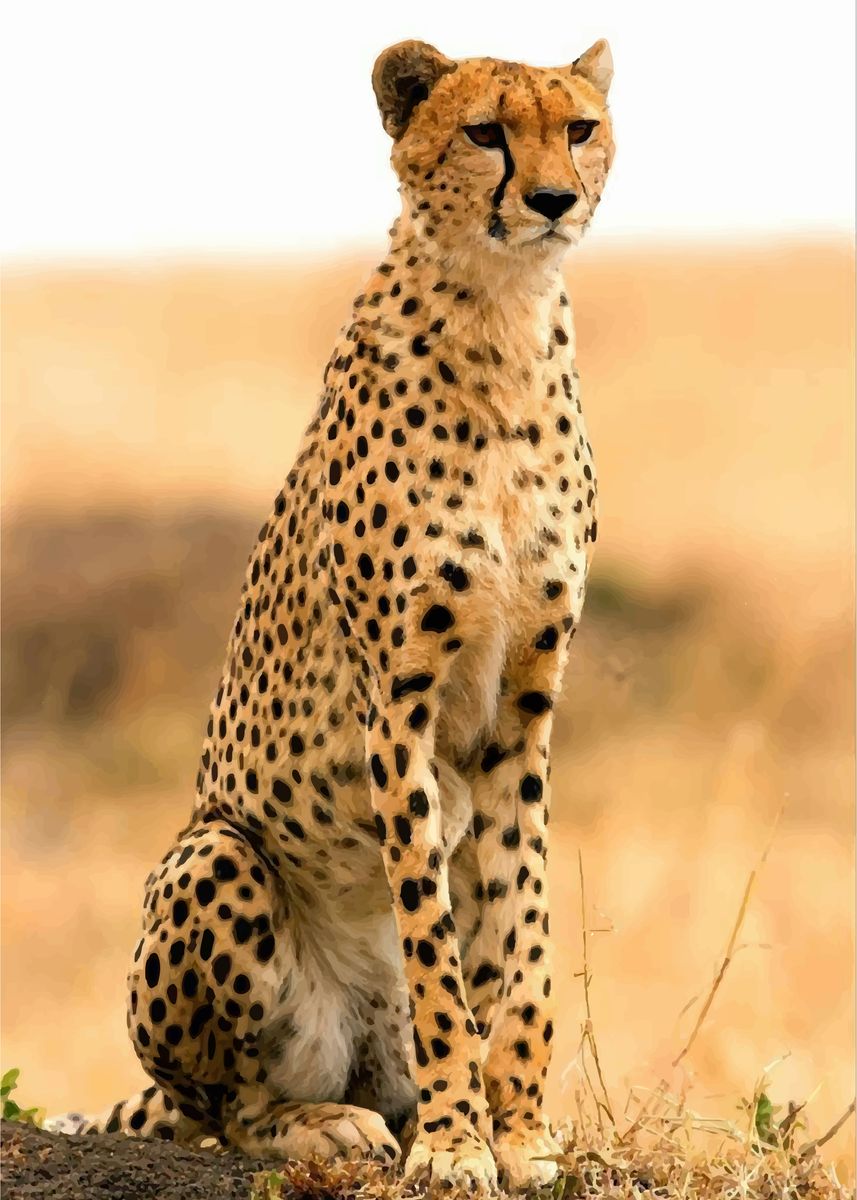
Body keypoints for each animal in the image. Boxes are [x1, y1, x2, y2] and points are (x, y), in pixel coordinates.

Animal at [46, 36, 615, 1192]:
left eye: (577, 128)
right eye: (485, 131)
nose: (550, 199)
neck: (503, 320)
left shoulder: (525, 705)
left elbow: (524, 926)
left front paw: (519, 1132)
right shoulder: (395, 704)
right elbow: (434, 954)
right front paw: (455, 1144)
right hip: (213, 853)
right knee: (228, 1106)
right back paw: (329, 1126)